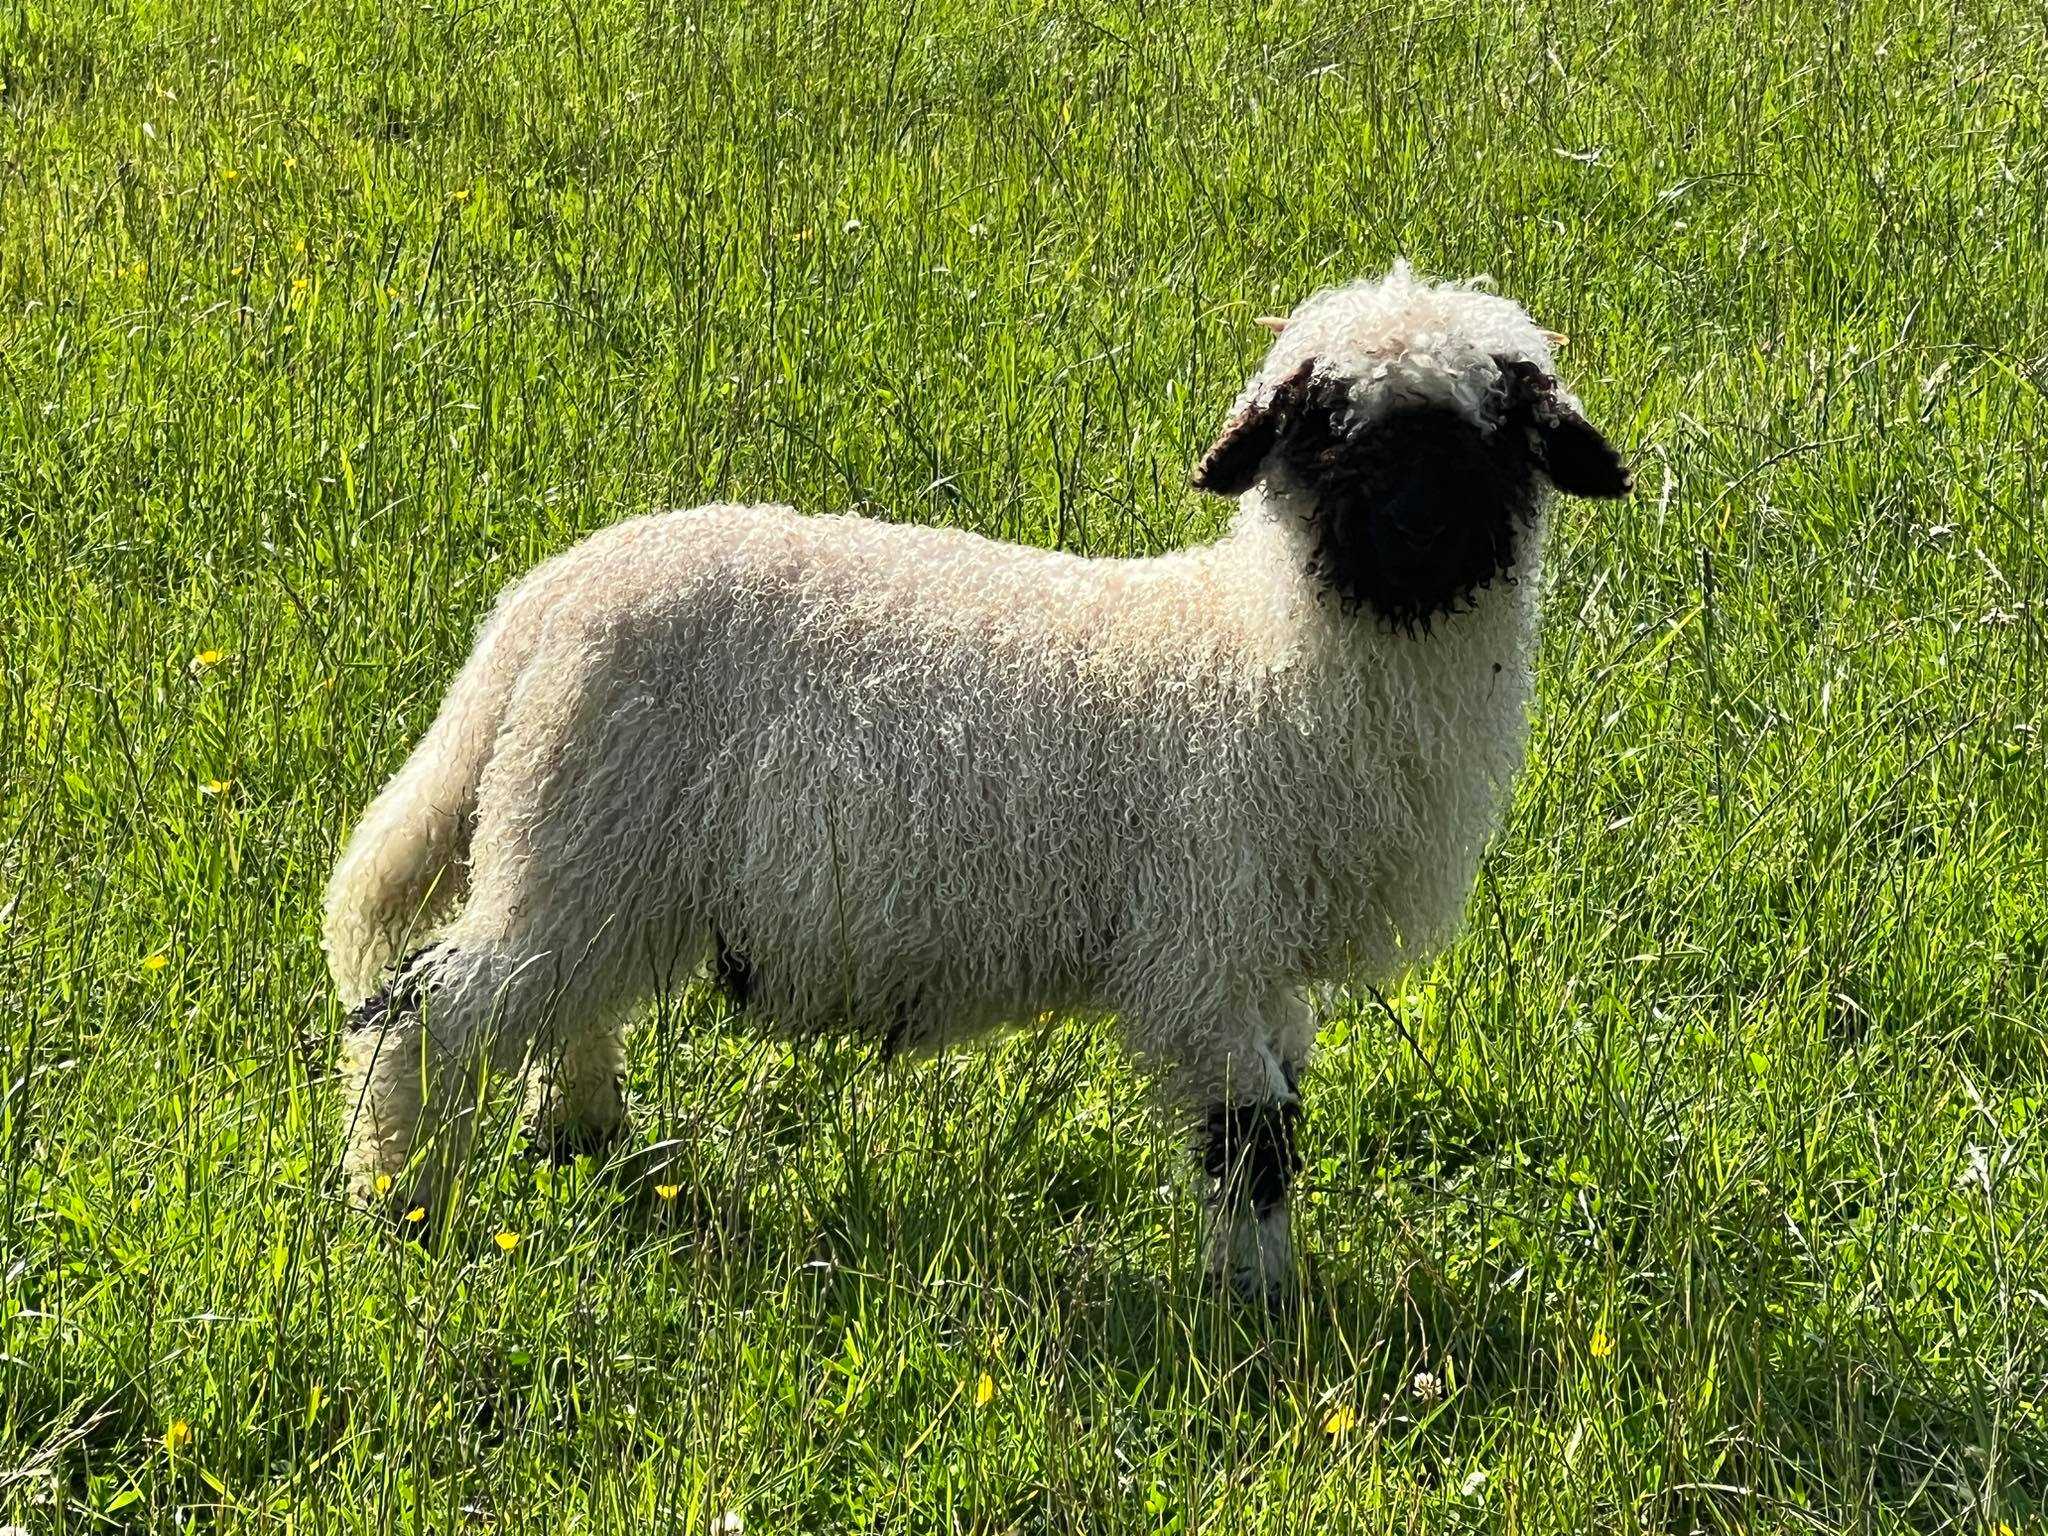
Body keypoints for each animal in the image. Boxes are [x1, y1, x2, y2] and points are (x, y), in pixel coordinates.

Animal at [323, 262, 1631, 1296]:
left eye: (1496, 428)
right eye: (1320, 427)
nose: (1410, 526)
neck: (1261, 653)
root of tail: (543, 598)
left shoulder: (1260, 961)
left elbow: (1275, 1115)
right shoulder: (1200, 940)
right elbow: (1248, 1136)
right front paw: (1260, 1307)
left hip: (594, 857)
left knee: (559, 1007)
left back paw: (585, 1144)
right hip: (580, 834)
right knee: (423, 1012)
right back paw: (396, 1203)